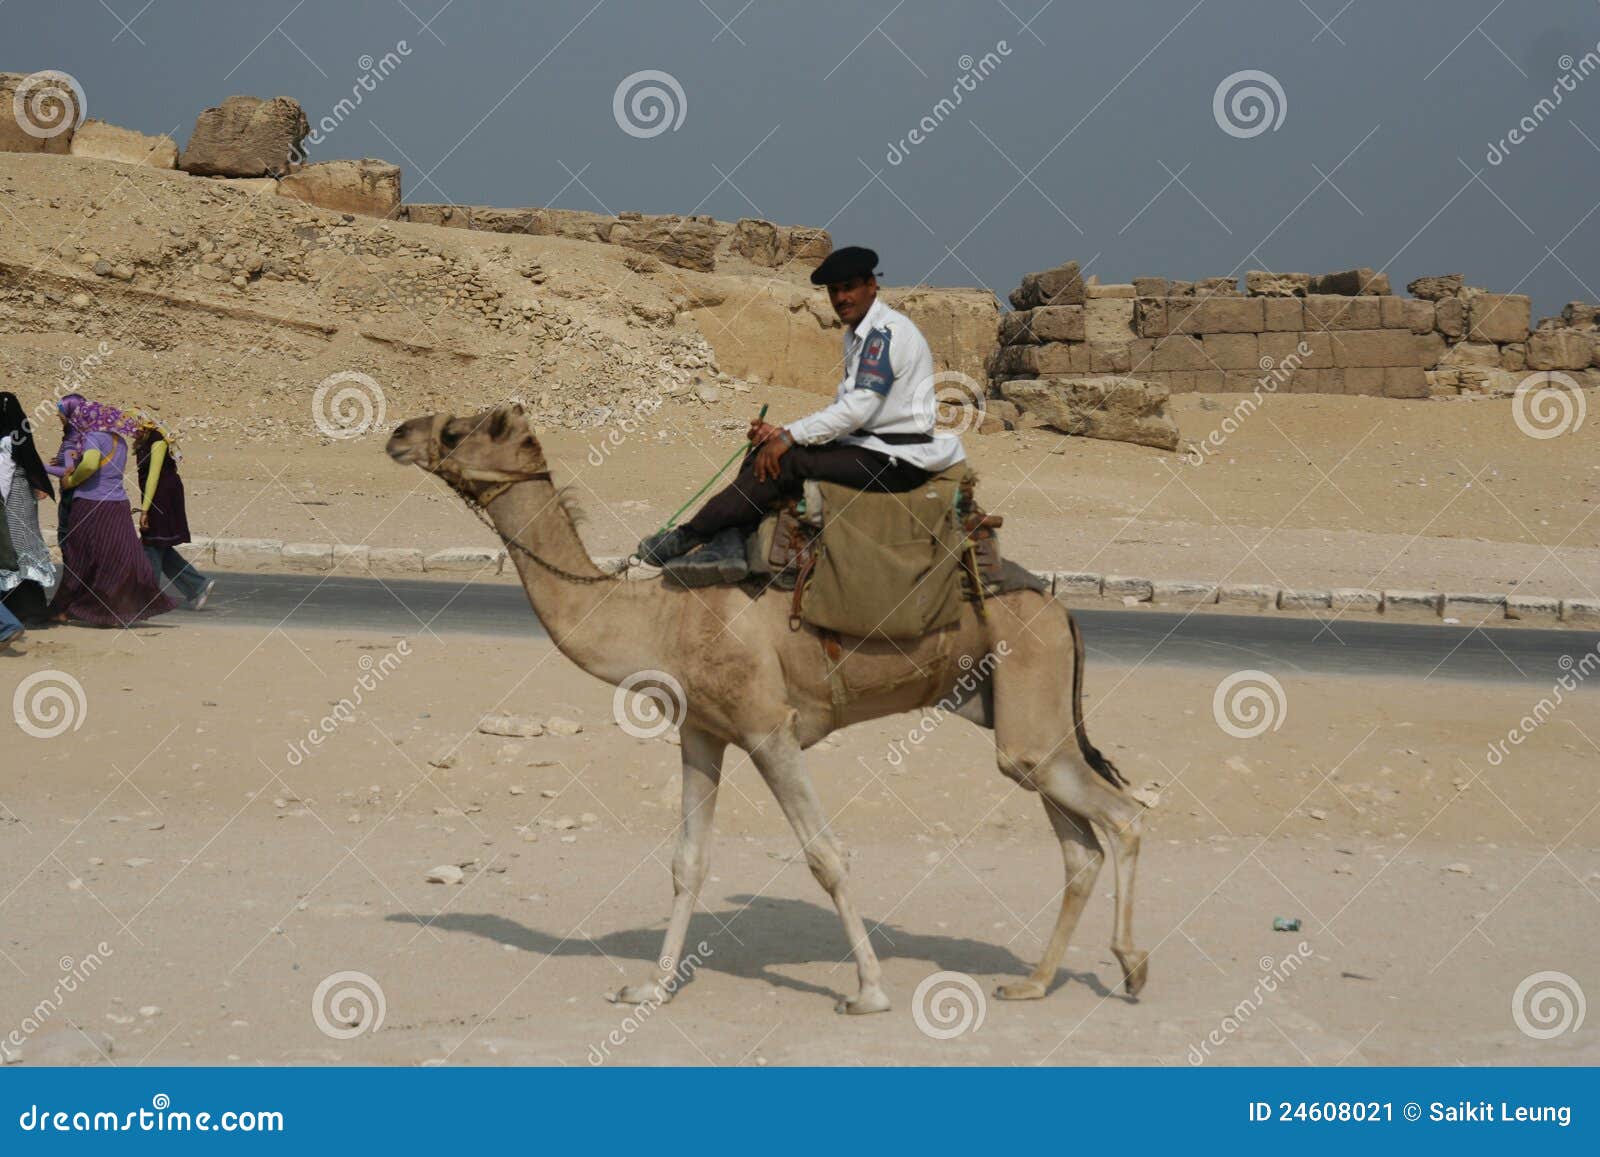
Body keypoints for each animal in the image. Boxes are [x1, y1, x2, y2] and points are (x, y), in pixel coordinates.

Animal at [386, 405, 1148, 1014]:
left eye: (455, 430)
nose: (398, 433)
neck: (659, 619)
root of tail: (1061, 609)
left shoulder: (767, 727)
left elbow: (826, 856)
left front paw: (869, 991)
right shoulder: (700, 732)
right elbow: (687, 862)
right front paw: (651, 986)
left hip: (1031, 688)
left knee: (1123, 816)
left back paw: (1132, 967)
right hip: (1019, 717)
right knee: (1078, 844)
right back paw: (1035, 982)